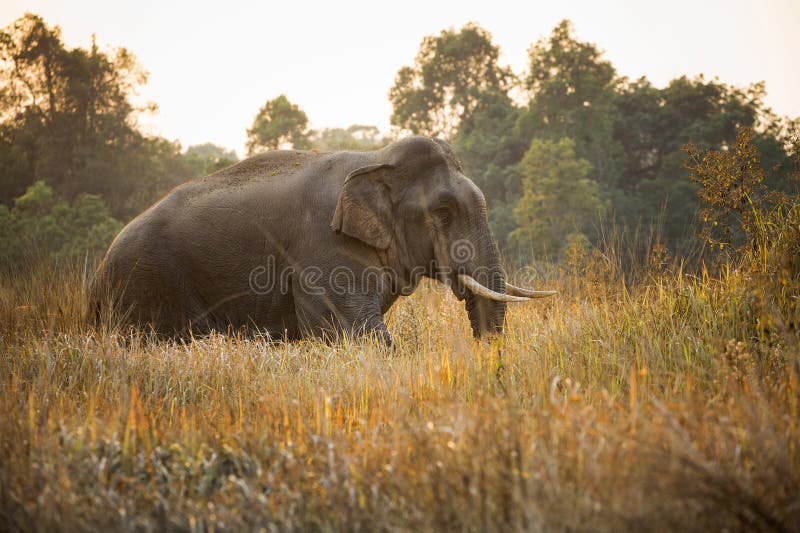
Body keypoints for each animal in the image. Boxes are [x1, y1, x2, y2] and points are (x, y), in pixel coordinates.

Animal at [90, 136, 555, 344]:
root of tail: (94, 279)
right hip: (148, 288)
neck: (376, 160)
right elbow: (356, 332)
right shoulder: (324, 252)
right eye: (443, 212)